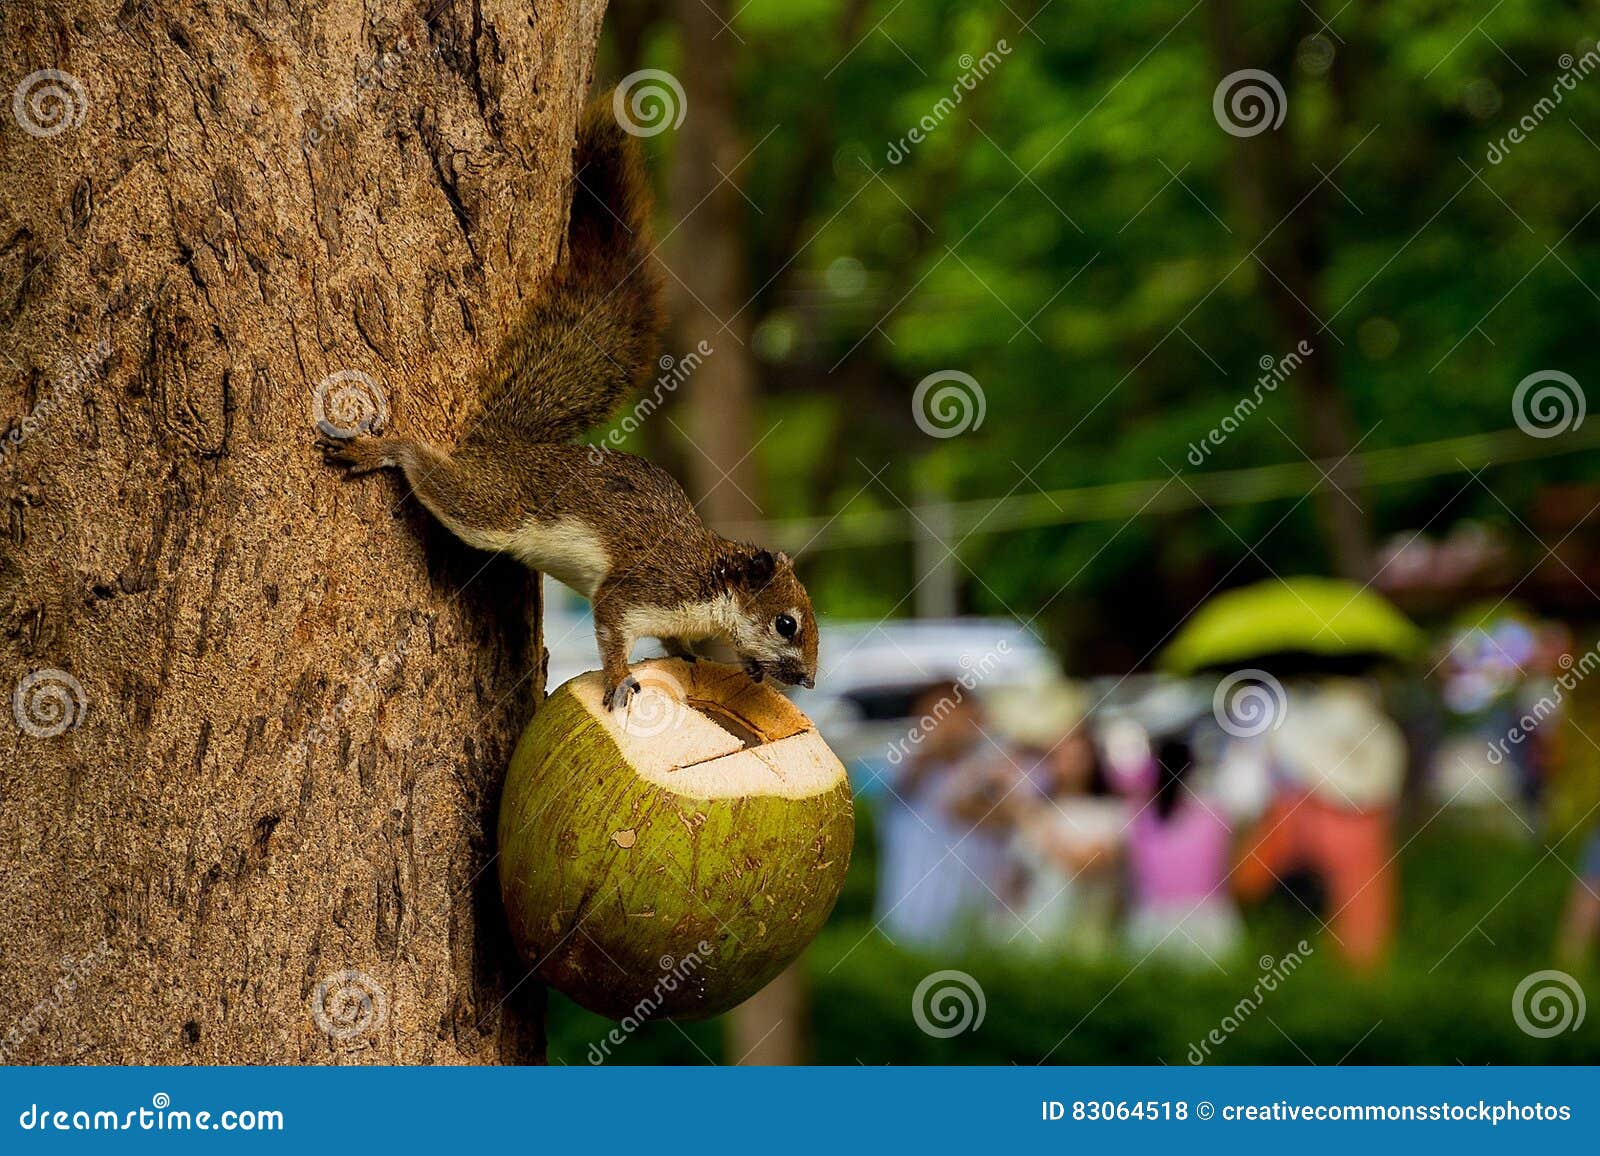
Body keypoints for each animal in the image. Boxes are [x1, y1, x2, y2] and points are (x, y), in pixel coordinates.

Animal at [321, 92, 818, 710]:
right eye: (786, 624)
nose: (809, 680)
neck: (708, 577)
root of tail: (508, 446)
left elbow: (675, 642)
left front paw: (688, 656)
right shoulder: (647, 586)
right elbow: (611, 621)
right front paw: (618, 676)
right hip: (497, 506)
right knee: (441, 482)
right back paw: (388, 448)